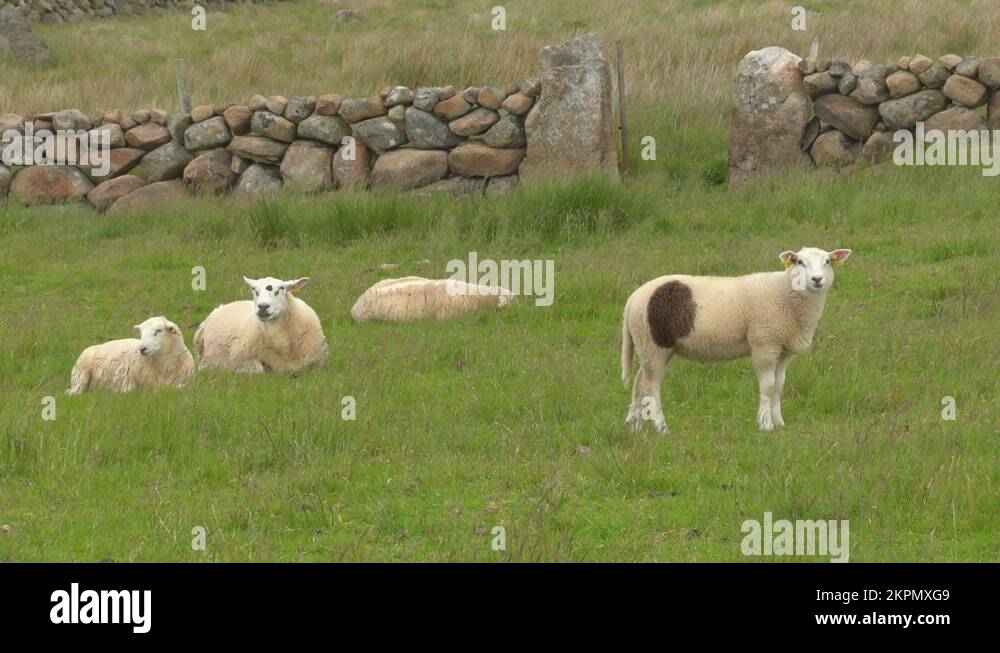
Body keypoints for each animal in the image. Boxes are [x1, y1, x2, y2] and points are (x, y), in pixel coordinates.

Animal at [194, 276, 327, 374]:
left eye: (280, 289)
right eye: (255, 291)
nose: (263, 306)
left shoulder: (319, 361)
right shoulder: (240, 358)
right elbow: (259, 369)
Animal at [621, 247, 852, 433]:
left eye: (827, 261)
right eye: (799, 262)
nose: (817, 279)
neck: (785, 292)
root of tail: (633, 299)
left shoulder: (783, 350)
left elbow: (779, 386)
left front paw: (779, 423)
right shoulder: (764, 344)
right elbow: (768, 386)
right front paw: (765, 424)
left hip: (651, 347)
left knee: (639, 384)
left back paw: (635, 427)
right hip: (653, 344)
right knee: (652, 387)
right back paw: (662, 428)